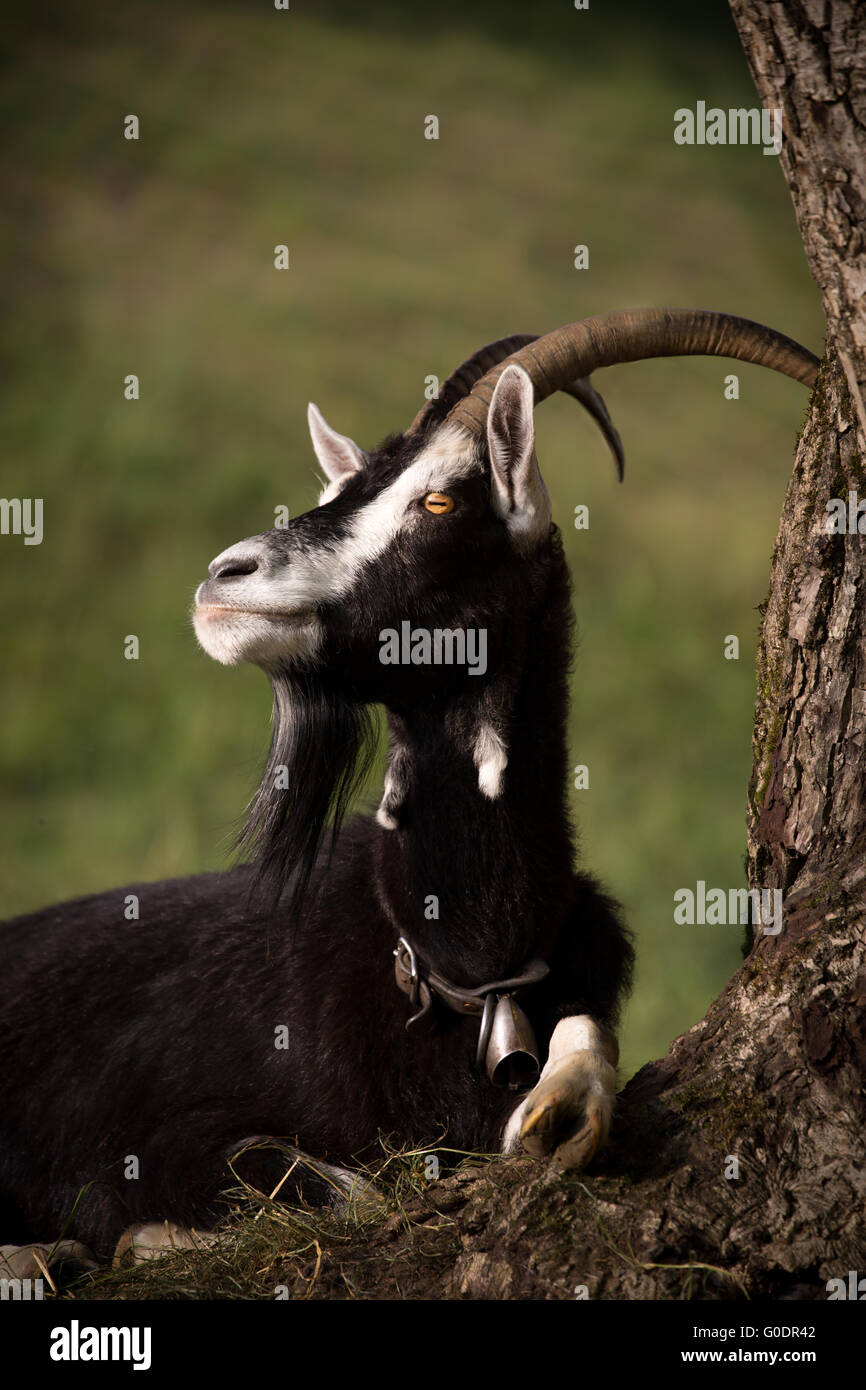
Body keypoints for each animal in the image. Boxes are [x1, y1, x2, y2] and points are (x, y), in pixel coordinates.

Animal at [0, 309, 818, 1262]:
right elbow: (347, 1189)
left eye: (439, 500)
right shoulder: (139, 1130)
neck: (457, 964)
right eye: (342, 486)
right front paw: (148, 1238)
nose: (223, 578)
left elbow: (578, 1055)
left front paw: (557, 1110)